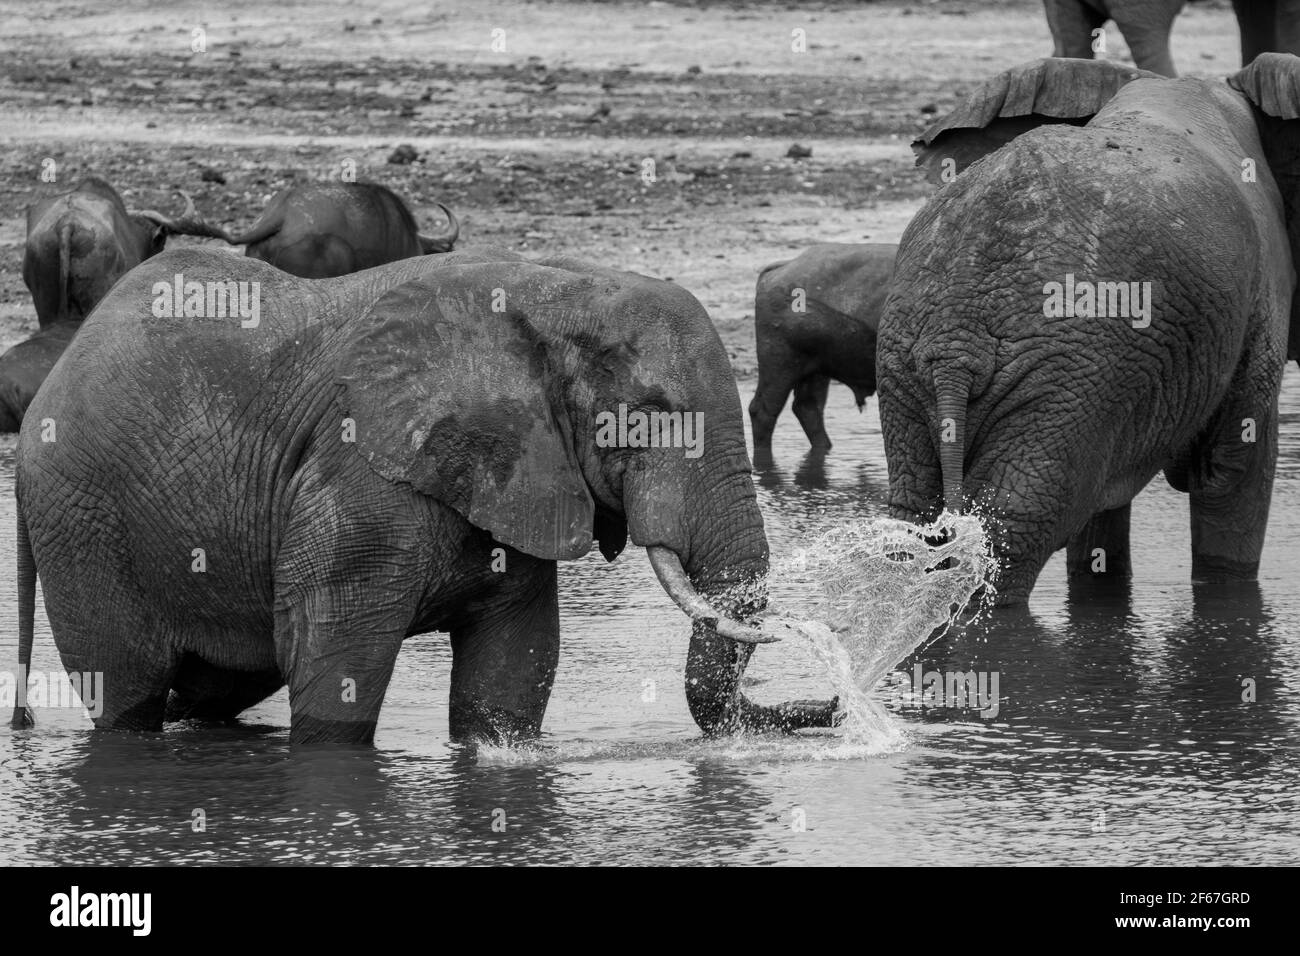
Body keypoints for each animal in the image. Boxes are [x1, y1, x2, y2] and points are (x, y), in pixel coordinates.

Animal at [10, 246, 840, 743]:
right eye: (647, 416)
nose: (831, 705)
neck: (555, 288)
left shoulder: (516, 475)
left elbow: (512, 673)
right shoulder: (356, 473)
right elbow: (333, 676)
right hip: (84, 524)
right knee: (128, 695)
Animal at [879, 55, 1300, 606]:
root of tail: (956, 348)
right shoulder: (1261, 294)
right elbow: (1232, 469)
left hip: (921, 367)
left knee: (916, 516)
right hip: (1065, 379)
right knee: (1012, 534)